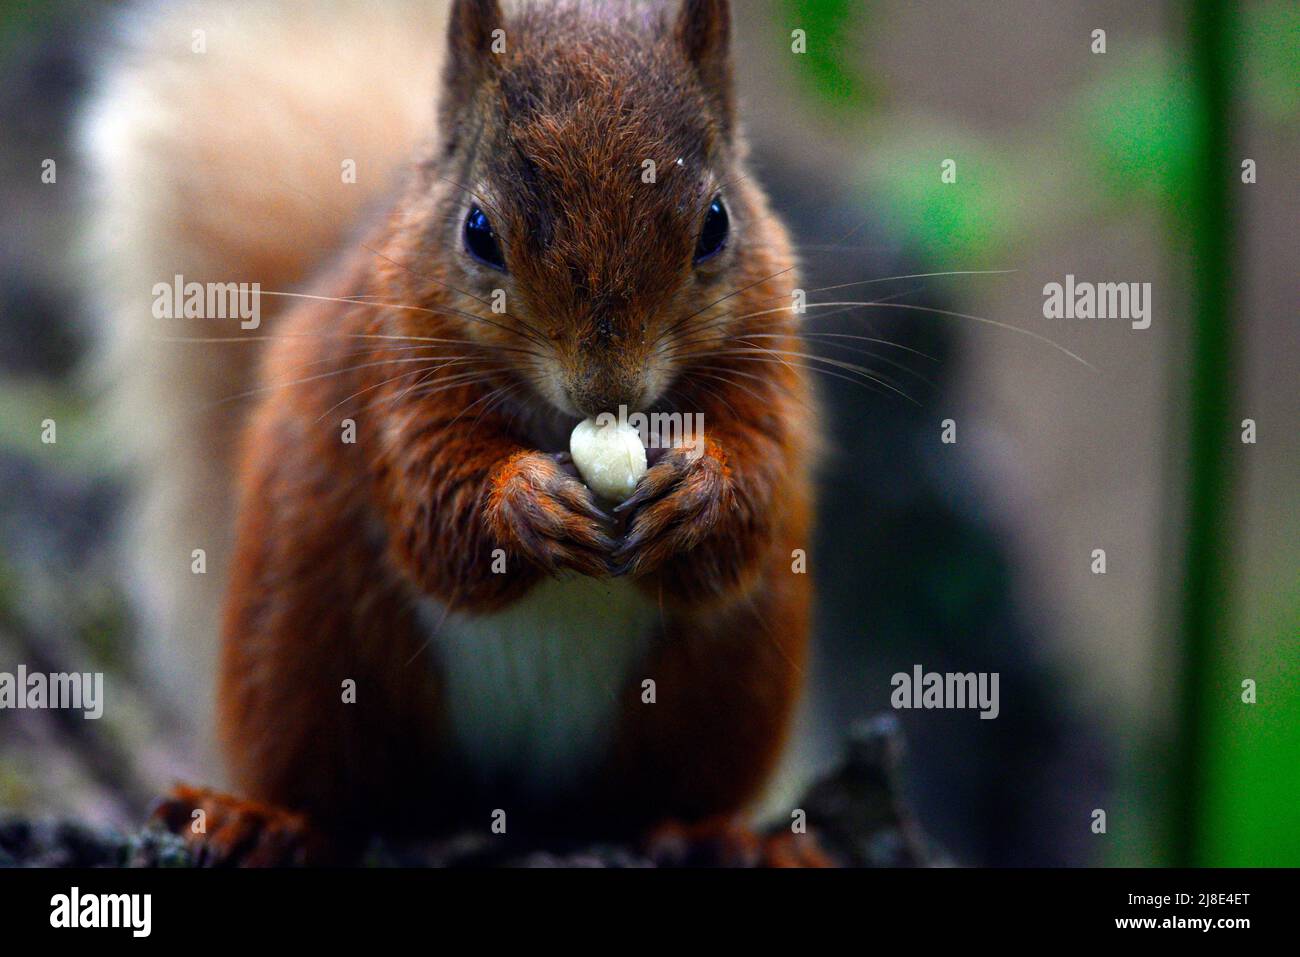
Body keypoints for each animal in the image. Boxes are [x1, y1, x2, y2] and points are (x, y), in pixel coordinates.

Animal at [86, 0, 822, 865]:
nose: (607, 389)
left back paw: (723, 834)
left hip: (727, 686)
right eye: (478, 231)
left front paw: (699, 492)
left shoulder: (769, 360)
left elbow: (758, 483)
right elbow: (433, 507)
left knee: (664, 797)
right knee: (321, 777)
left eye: (715, 225)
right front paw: (528, 505)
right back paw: (260, 818)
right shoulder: (388, 374)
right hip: (305, 645)